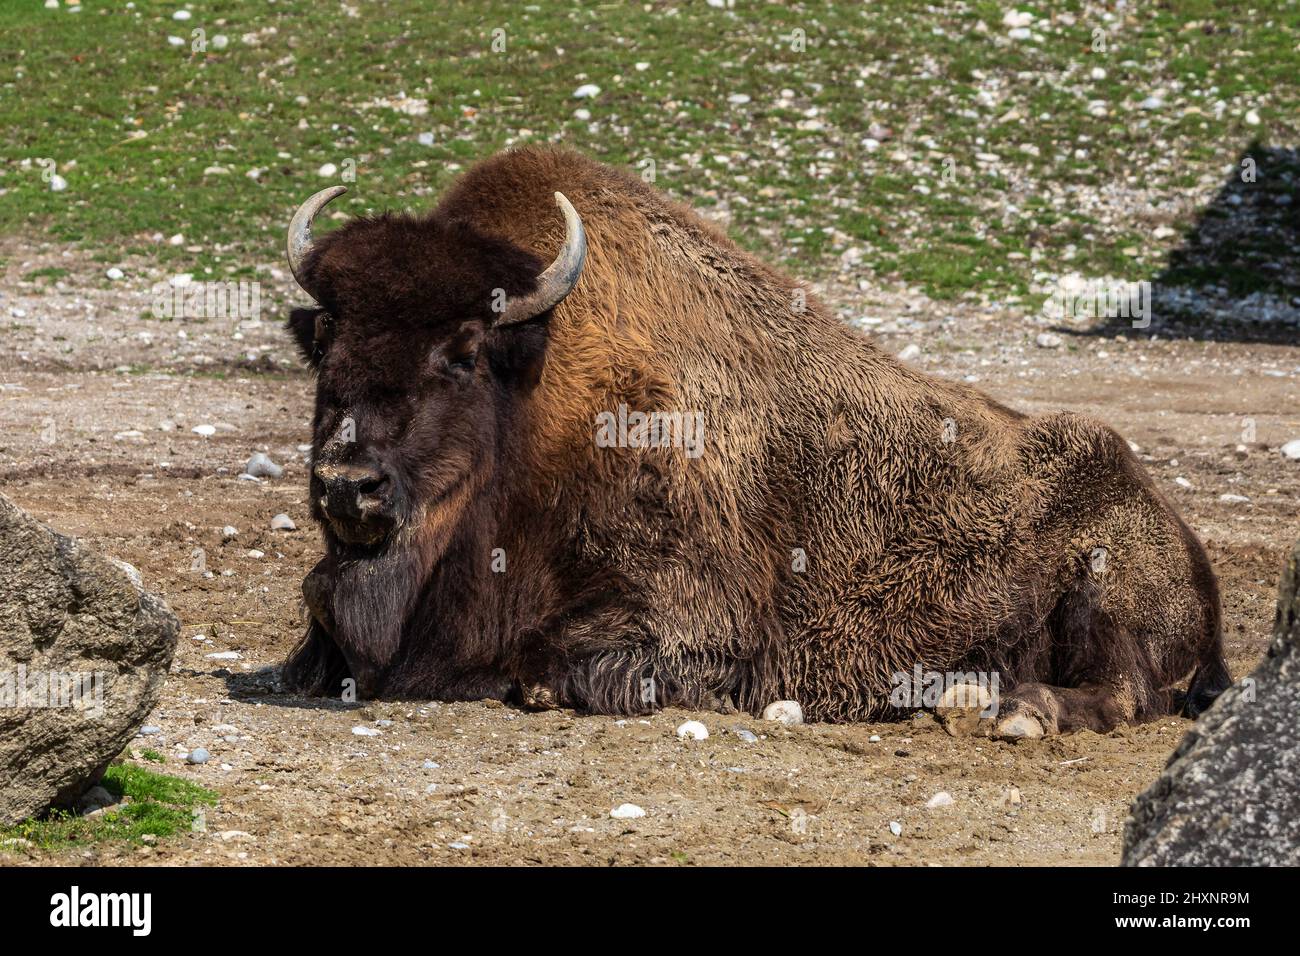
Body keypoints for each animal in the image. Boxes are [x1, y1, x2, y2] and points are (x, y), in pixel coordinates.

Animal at [280, 147, 1228, 737]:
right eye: (327, 336)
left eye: (463, 351)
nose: (347, 485)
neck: (541, 386)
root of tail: (1182, 535)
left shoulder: (690, 621)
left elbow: (550, 666)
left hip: (1103, 589)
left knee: (1122, 692)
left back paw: (1012, 711)